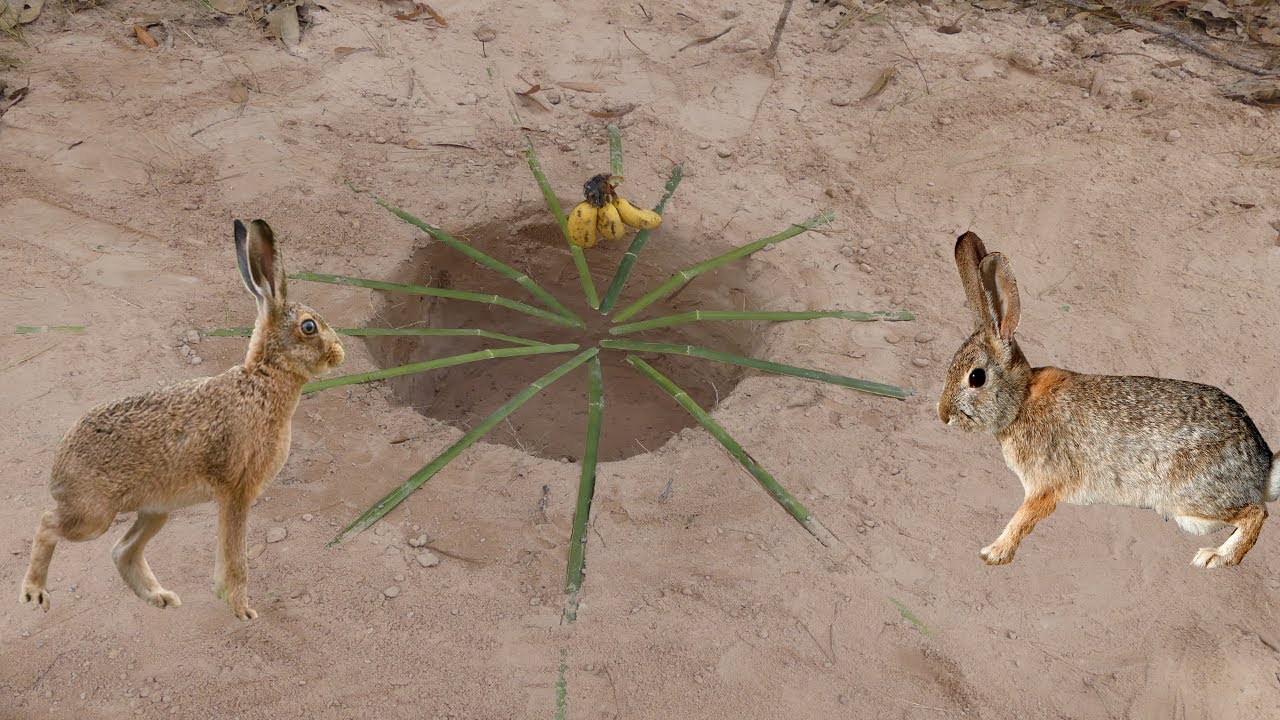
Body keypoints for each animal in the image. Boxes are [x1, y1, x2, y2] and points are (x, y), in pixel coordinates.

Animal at [18, 219, 344, 620]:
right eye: (309, 327)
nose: (339, 353)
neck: (262, 380)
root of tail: (57, 470)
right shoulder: (236, 491)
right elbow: (235, 557)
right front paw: (243, 611)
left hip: (156, 509)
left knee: (122, 550)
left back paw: (160, 598)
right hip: (94, 515)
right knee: (48, 524)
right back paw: (35, 593)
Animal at [937, 231, 1277, 569]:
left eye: (976, 377)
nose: (943, 415)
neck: (1021, 401)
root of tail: (1261, 469)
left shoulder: (1044, 486)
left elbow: (1022, 519)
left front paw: (993, 553)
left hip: (1191, 498)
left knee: (1256, 512)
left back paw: (1217, 556)